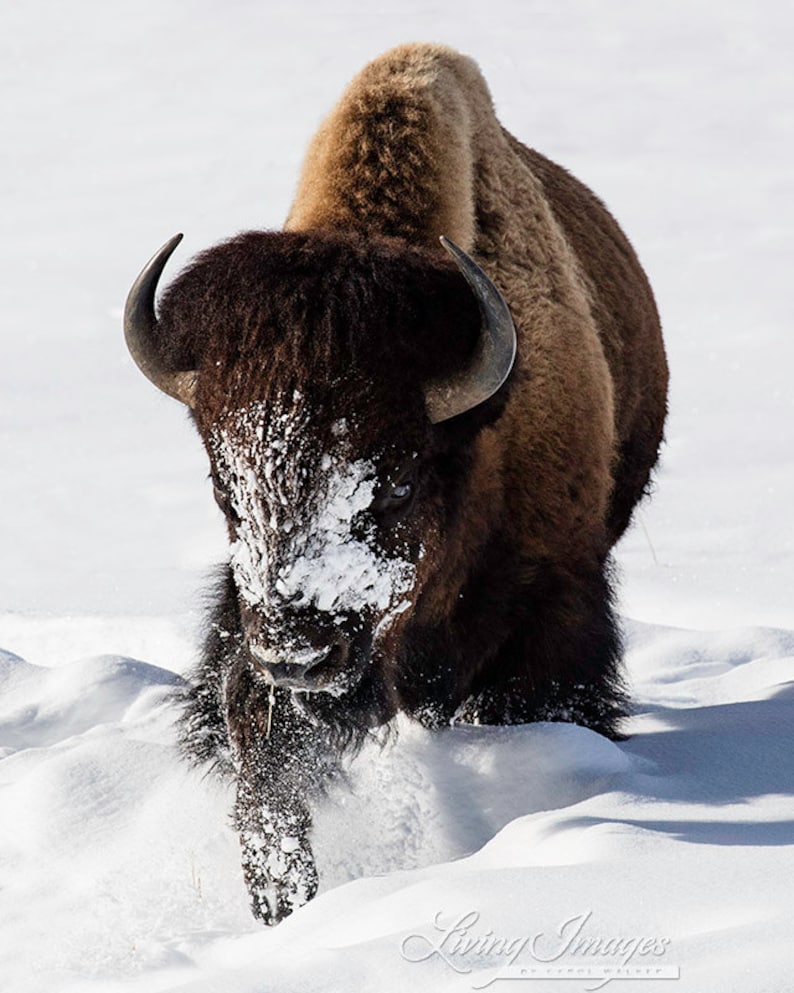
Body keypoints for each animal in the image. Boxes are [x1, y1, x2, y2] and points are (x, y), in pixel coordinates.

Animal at [124, 43, 668, 924]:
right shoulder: (250, 643)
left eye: (397, 485)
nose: (297, 655)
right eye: (224, 491)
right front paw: (285, 904)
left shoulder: (552, 618)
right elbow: (265, 768)